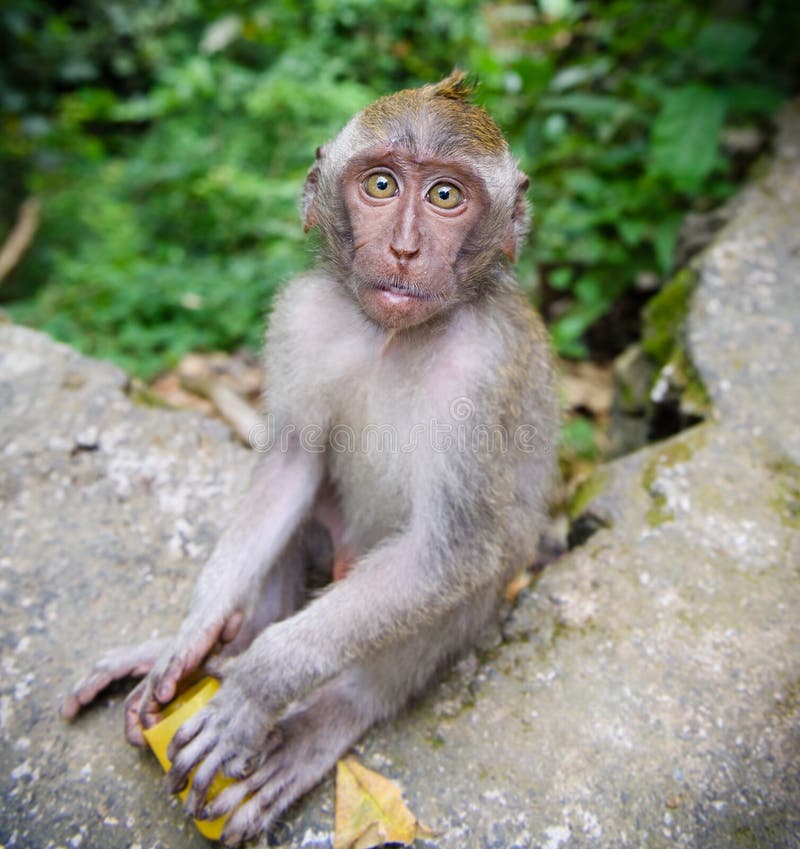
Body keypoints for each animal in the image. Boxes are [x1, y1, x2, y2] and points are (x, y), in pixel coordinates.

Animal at [62, 71, 558, 845]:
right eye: (381, 185)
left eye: (446, 196)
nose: (406, 249)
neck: (390, 335)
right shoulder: (299, 316)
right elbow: (289, 468)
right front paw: (192, 636)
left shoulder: (486, 367)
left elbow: (453, 550)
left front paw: (259, 687)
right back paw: (224, 647)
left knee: (463, 576)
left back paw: (315, 721)